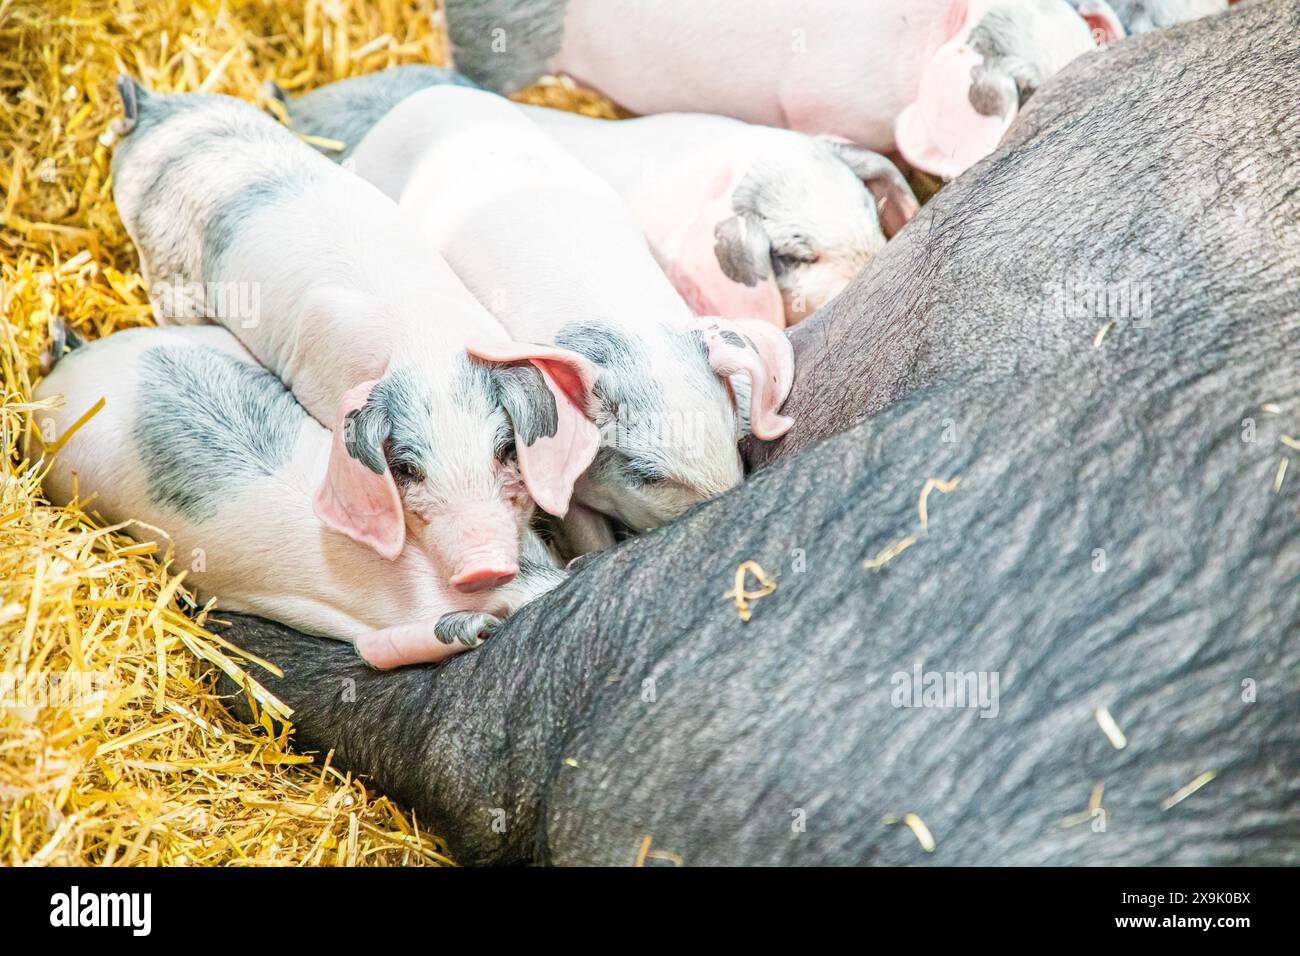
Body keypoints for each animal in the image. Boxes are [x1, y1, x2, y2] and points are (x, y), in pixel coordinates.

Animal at [110, 78, 600, 591]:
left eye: (505, 450)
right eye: (405, 468)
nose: (483, 569)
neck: (426, 343)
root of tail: (157, 111)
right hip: (169, 277)